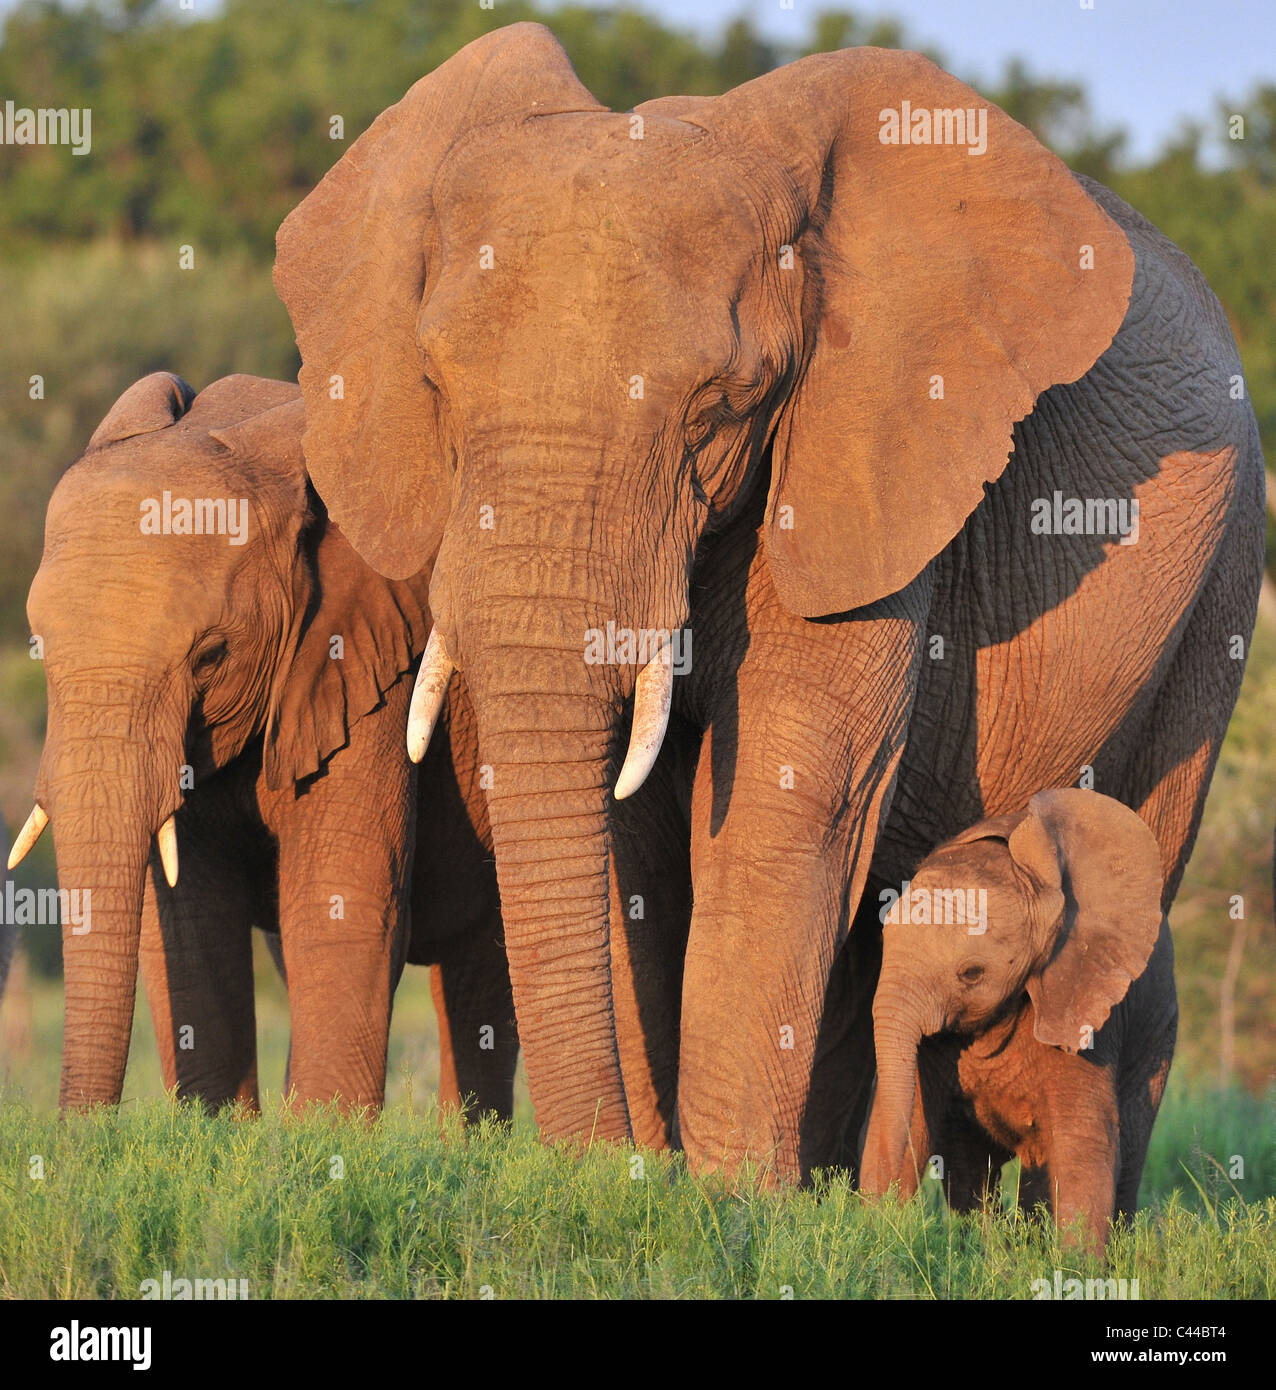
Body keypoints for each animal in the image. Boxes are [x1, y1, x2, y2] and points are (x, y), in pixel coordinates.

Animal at [9, 371, 517, 1117]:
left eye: (211, 656)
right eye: (39, 646)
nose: (79, 1134)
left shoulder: (365, 662)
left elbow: (340, 902)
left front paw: (325, 1139)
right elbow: (193, 923)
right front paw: (213, 1133)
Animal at [272, 24, 1264, 1177]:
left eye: (721, 406)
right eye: (434, 386)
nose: (590, 1157)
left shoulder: (864, 460)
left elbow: (787, 793)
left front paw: (721, 1195)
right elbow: (638, 844)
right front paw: (667, 1182)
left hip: (1220, 585)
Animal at [860, 790, 1175, 1255]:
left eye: (972, 973)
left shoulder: (1087, 1000)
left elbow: (1084, 1141)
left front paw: (1076, 1266)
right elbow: (909, 1117)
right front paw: (875, 1239)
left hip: (1158, 1036)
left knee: (1125, 1149)